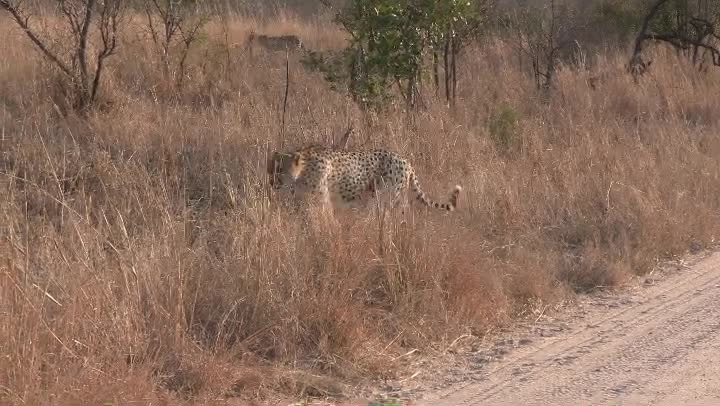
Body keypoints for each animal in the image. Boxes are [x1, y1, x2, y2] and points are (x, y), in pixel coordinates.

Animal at [267, 145, 462, 212]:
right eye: (269, 169)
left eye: (279, 169)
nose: (271, 182)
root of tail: (405, 160)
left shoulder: (322, 201)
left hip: (386, 197)